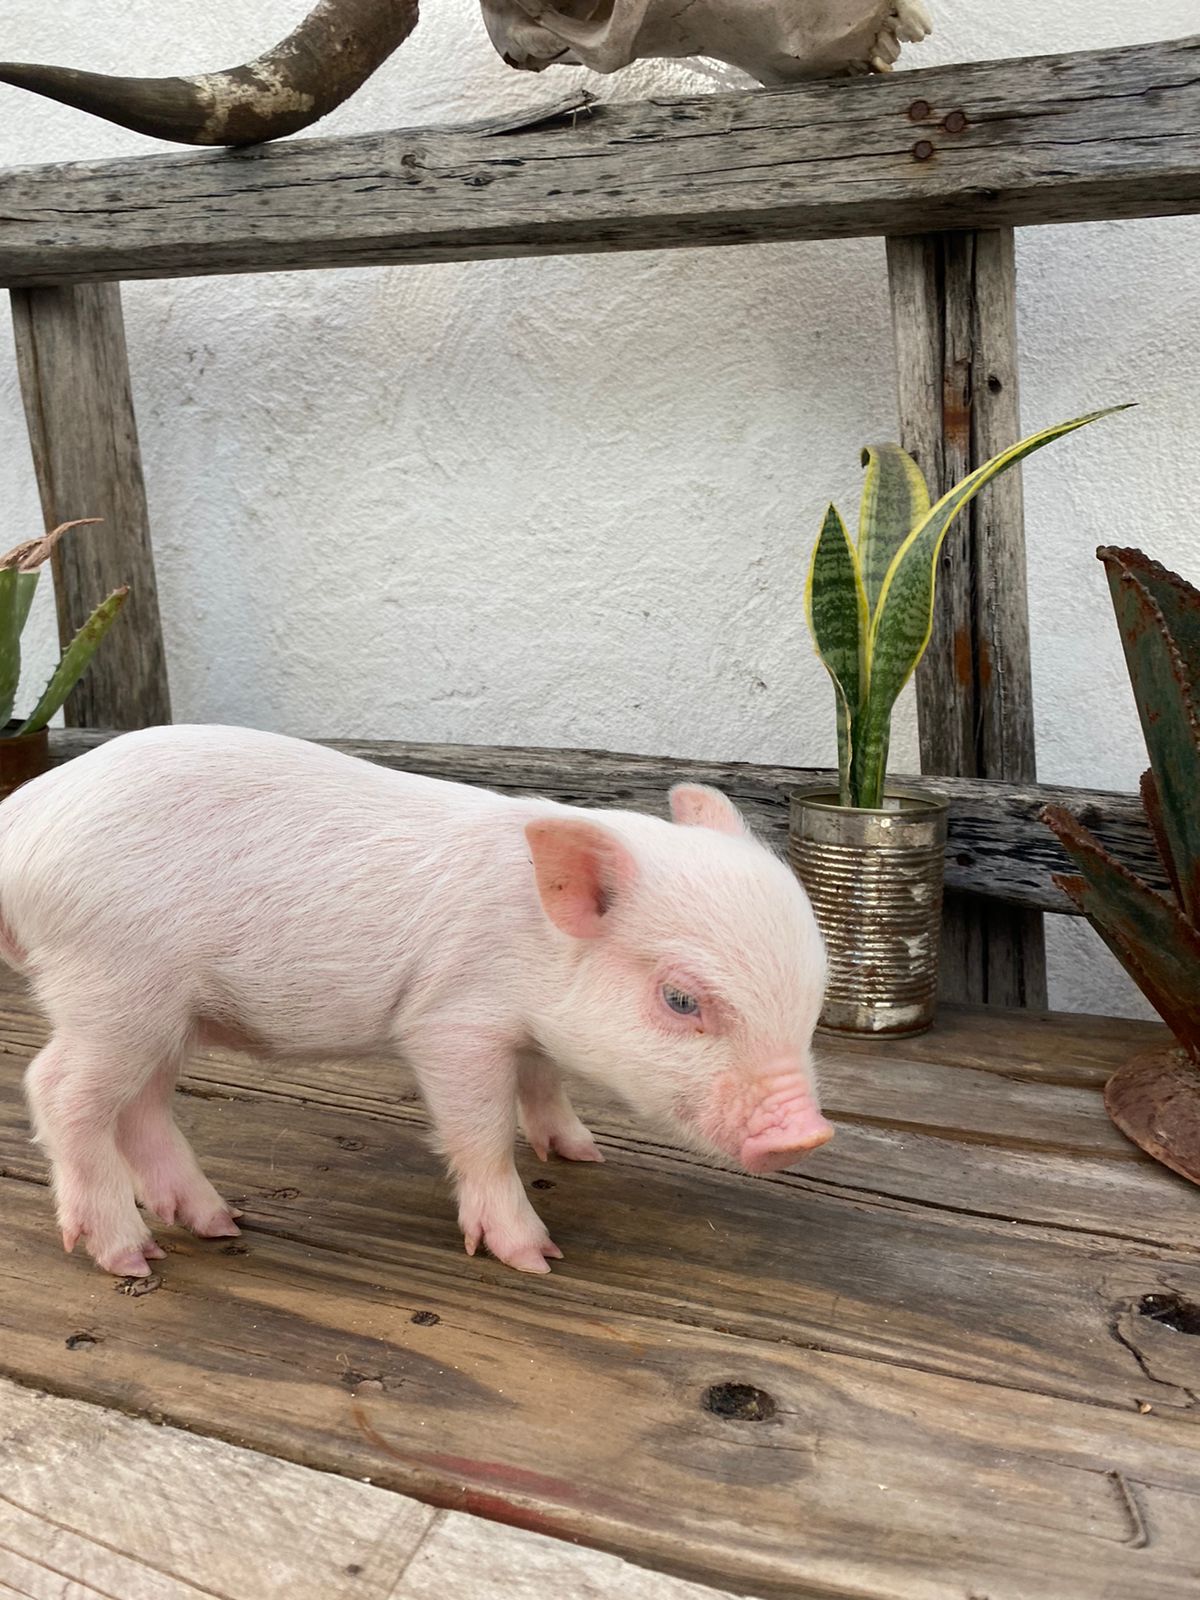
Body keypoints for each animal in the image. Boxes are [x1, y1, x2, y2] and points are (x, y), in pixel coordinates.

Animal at [0, 726, 832, 1277]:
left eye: (816, 985)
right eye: (681, 999)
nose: (808, 1134)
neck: (532, 940)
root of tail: (20, 822)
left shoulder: (528, 1031)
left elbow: (544, 1083)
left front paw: (581, 1150)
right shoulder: (453, 1022)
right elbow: (480, 1131)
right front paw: (536, 1257)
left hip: (161, 1012)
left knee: (140, 1107)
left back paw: (217, 1224)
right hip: (114, 984)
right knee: (57, 1087)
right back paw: (131, 1258)